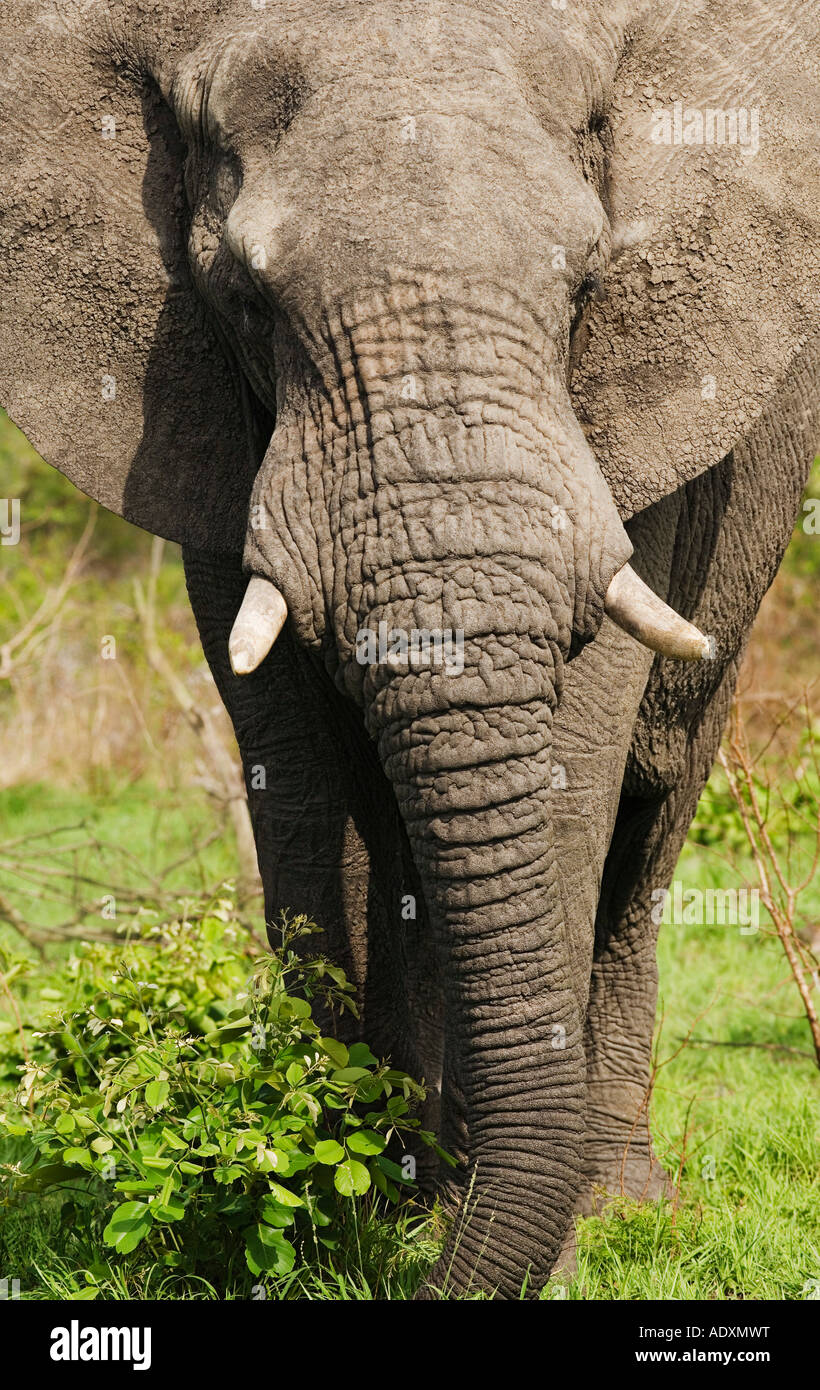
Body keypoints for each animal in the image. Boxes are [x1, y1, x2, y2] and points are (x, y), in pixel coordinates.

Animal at [1, 0, 818, 1298]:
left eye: (586, 289)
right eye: (245, 301)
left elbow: (572, 769)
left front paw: (518, 1239)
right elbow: (296, 764)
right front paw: (335, 1202)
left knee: (653, 803)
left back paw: (618, 1196)